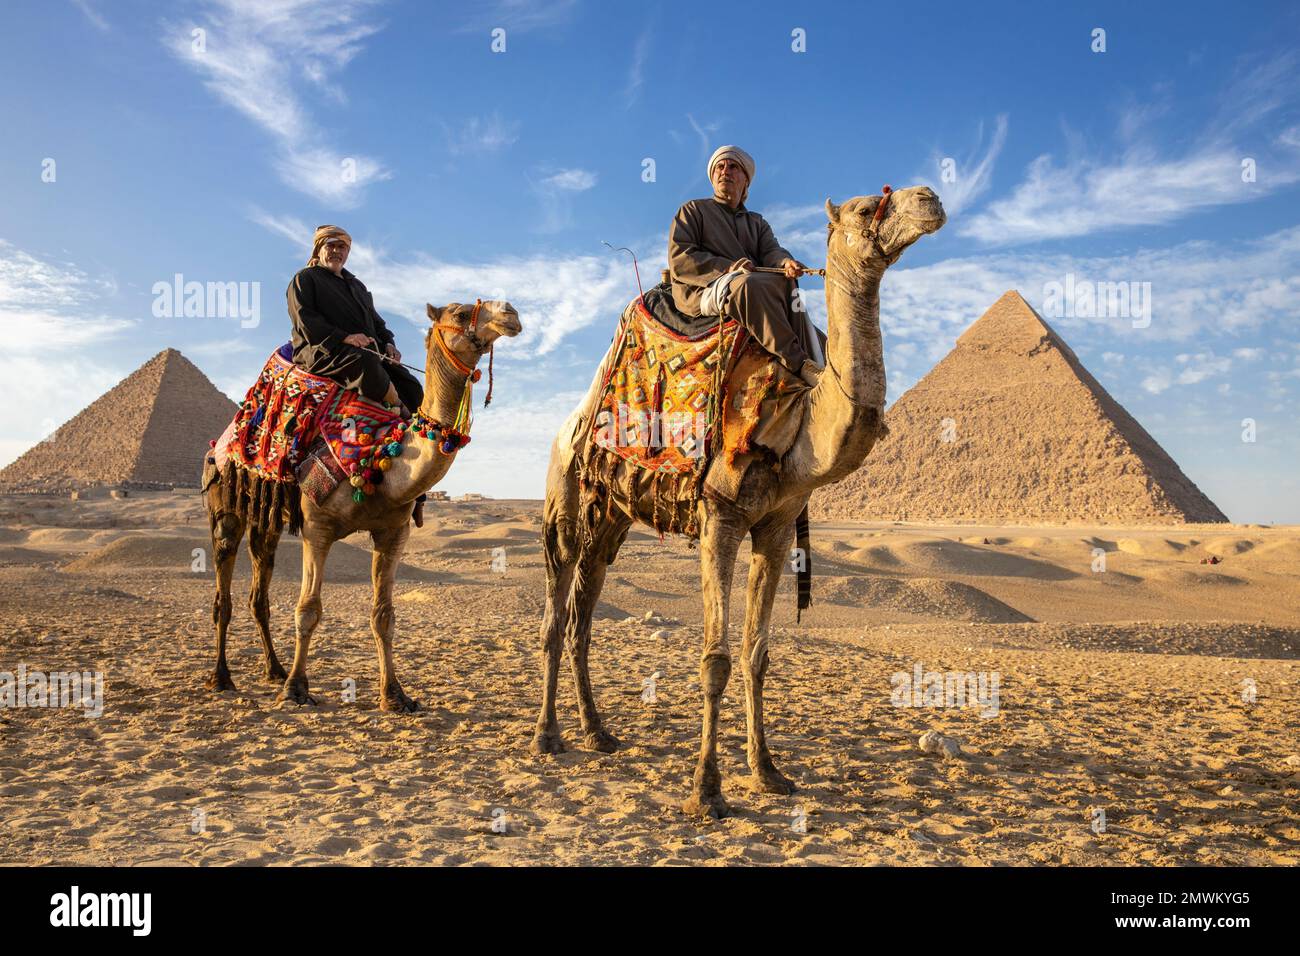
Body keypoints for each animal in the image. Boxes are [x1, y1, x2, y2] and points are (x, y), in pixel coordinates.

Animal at [204, 300, 521, 711]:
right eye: (459, 311)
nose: (510, 313)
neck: (383, 454)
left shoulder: (393, 532)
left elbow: (383, 616)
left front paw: (396, 695)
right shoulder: (317, 527)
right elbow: (308, 609)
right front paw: (296, 689)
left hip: (266, 521)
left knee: (260, 592)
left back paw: (273, 669)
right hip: (225, 508)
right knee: (223, 592)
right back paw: (222, 677)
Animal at [532, 186, 946, 817]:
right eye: (863, 206)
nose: (929, 197)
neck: (798, 424)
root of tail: (567, 425)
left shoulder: (775, 527)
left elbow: (757, 654)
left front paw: (767, 770)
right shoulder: (720, 519)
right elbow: (716, 660)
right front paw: (706, 789)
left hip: (612, 520)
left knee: (584, 610)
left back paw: (598, 731)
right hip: (565, 496)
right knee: (556, 612)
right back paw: (548, 734)